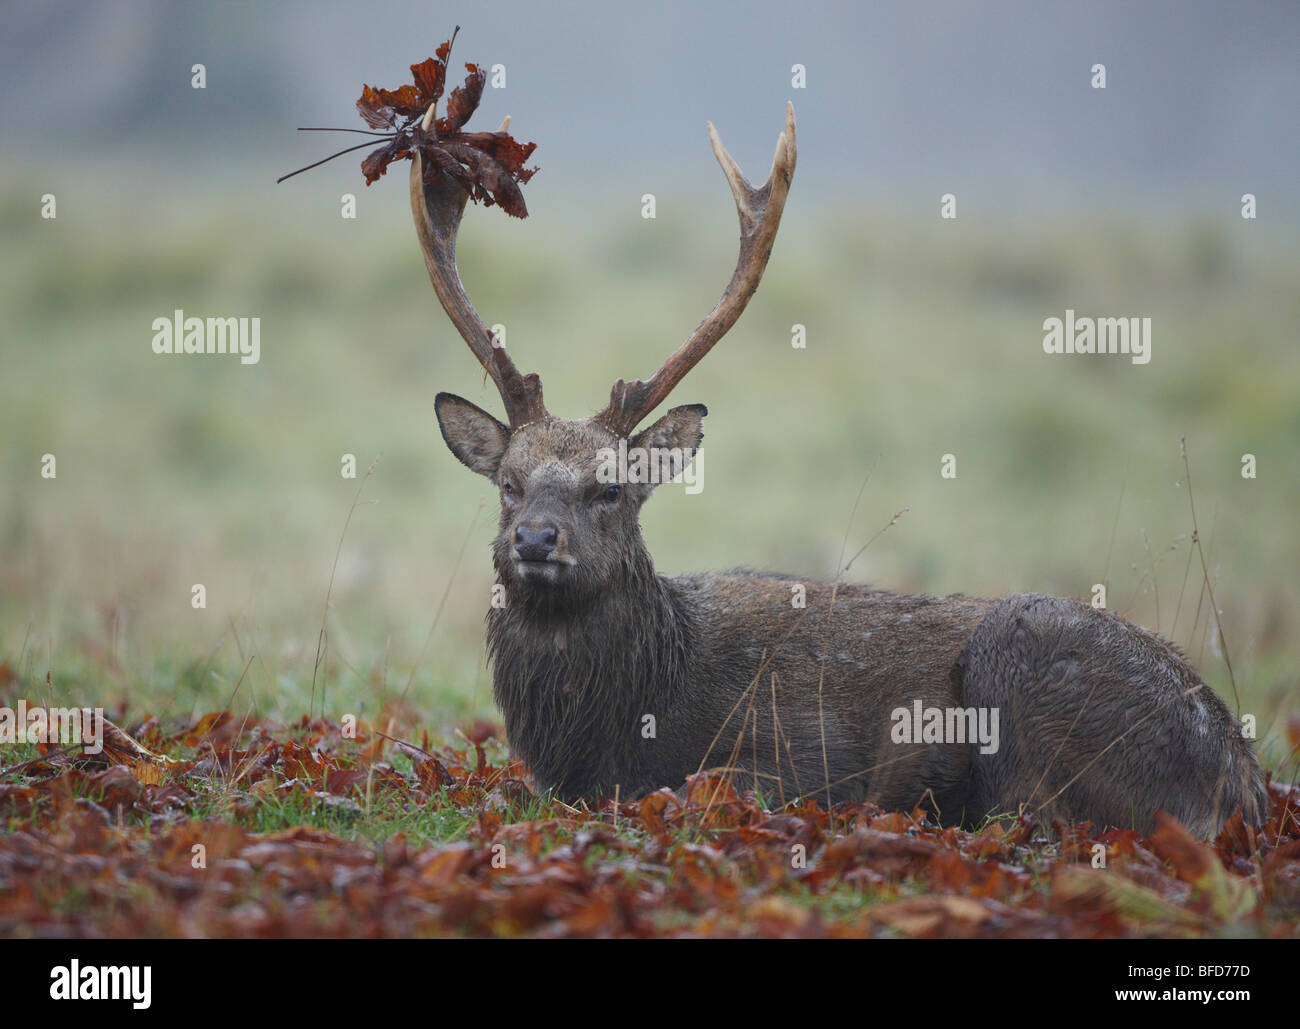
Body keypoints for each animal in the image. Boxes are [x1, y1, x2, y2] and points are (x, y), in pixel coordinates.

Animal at [412, 101, 1266, 838]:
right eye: (508, 483)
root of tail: (1245, 783)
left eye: (610, 487)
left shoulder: (795, 761)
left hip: (1024, 663)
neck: (621, 722)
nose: (534, 538)